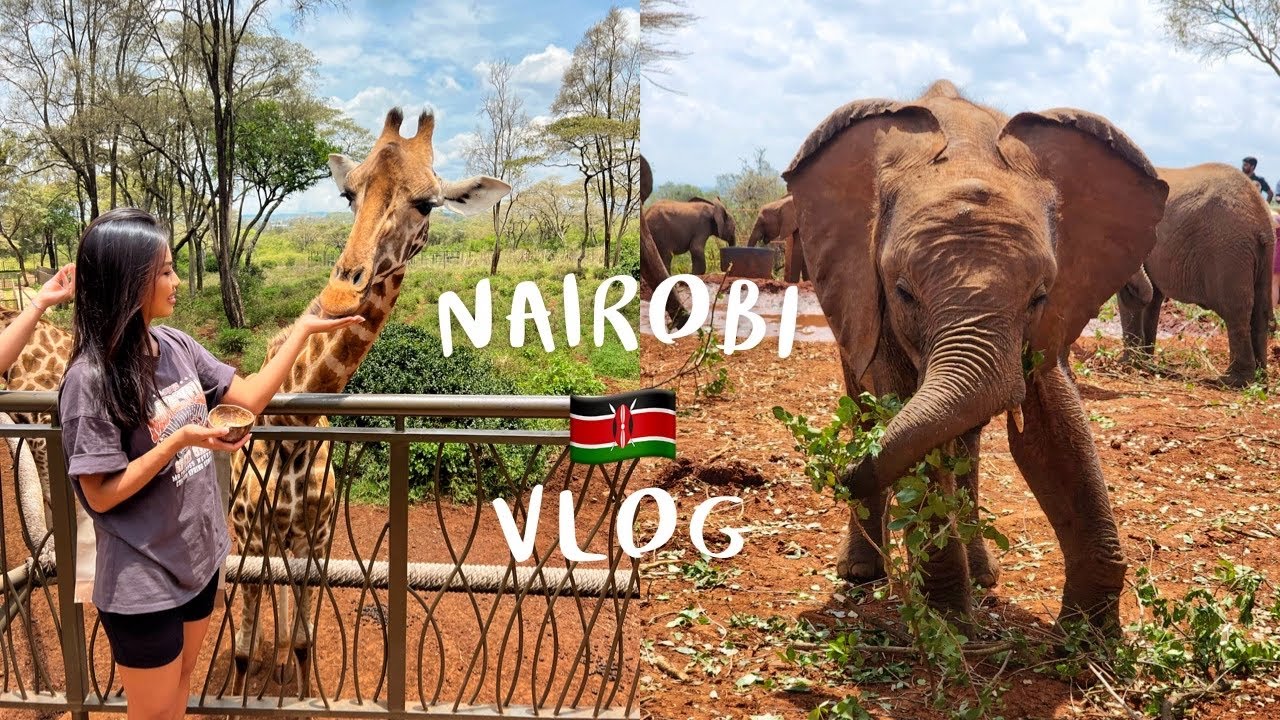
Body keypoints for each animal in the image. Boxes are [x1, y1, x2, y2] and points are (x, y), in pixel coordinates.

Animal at [227, 107, 510, 690]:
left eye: (427, 202)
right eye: (347, 194)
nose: (340, 293)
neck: (293, 435)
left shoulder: (317, 538)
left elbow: (305, 641)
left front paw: (294, 678)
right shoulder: (252, 536)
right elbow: (241, 650)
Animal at [783, 79, 1169, 632]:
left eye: (1039, 296)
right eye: (903, 292)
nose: (840, 473)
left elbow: (1053, 428)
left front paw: (1089, 638)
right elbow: (908, 423)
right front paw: (949, 623)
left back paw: (982, 576)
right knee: (867, 404)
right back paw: (862, 573)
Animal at [1117, 162, 1275, 387]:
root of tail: (1261, 220)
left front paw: (1128, 365)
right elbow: (1153, 297)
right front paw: (1143, 364)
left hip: (1227, 252)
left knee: (1234, 310)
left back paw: (1232, 380)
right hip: (1263, 256)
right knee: (1260, 311)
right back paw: (1260, 380)